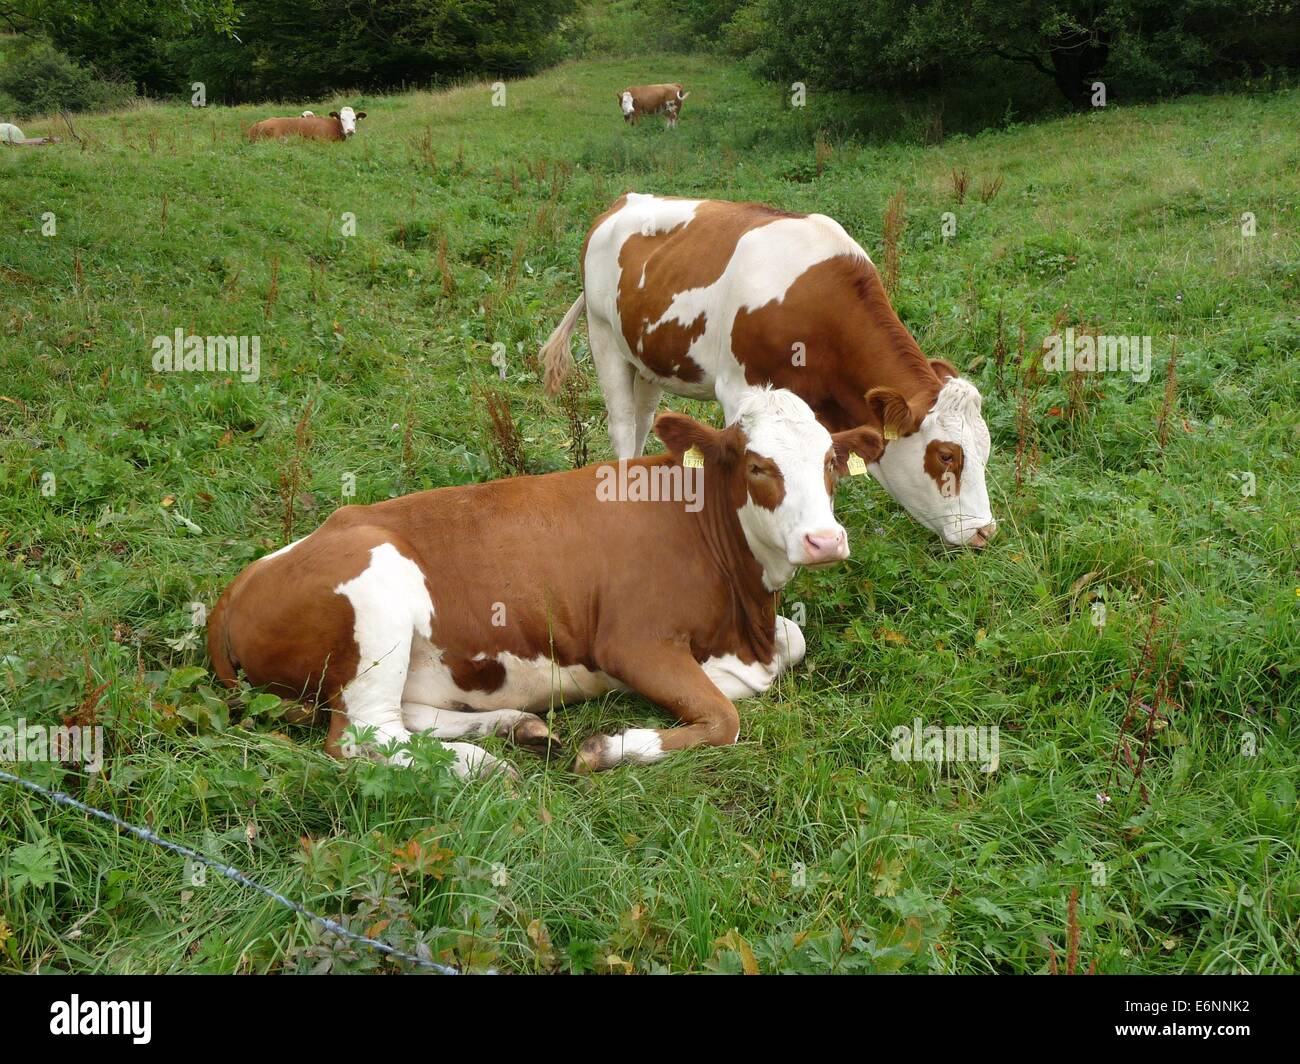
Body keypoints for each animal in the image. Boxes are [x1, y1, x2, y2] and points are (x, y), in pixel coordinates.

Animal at [208, 387, 882, 779]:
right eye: (758, 466)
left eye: (830, 460)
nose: (825, 540)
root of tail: (245, 579)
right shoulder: (631, 641)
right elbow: (724, 719)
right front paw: (610, 748)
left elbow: (794, 642)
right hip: (378, 605)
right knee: (360, 736)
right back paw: (480, 765)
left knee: (408, 717)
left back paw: (513, 727)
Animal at [541, 194, 996, 549]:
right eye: (946, 455)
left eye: (986, 449)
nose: (985, 532)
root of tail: (624, 202)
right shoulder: (739, 391)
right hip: (603, 337)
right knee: (621, 425)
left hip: (649, 359)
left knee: (641, 421)